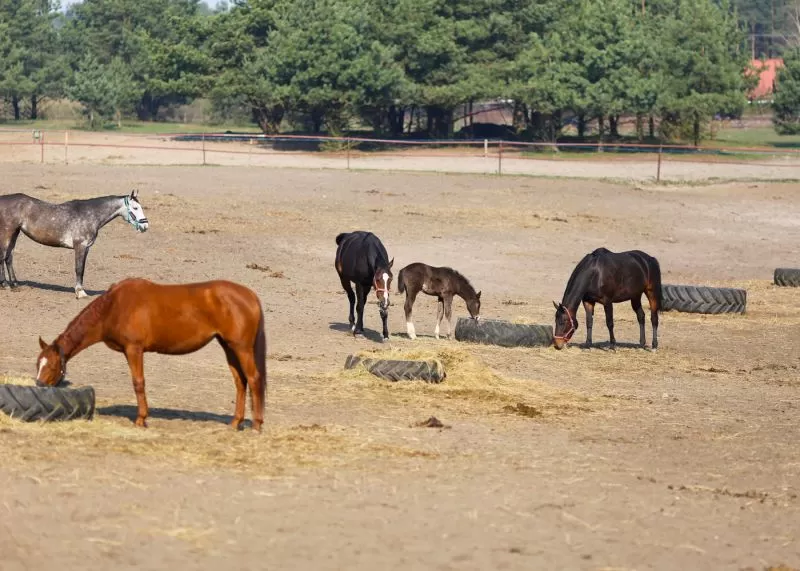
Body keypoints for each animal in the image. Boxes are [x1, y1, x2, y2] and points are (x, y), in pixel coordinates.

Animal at [0, 191, 149, 300]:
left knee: (9, 258)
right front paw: (80, 292)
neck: (90, 215)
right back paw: (5, 285)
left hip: (15, 233)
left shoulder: (86, 248)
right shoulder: (80, 247)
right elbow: (79, 269)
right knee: (3, 257)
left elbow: (82, 269)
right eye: (135, 208)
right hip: (7, 233)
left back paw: (15, 285)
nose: (145, 226)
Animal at [34, 280, 268, 432]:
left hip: (241, 348)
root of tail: (251, 296)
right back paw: (235, 423)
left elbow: (138, 383)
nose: (38, 386)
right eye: (38, 364)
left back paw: (256, 425)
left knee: (254, 379)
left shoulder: (134, 349)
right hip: (229, 347)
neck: (114, 306)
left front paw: (141, 419)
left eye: (52, 366)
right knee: (240, 383)